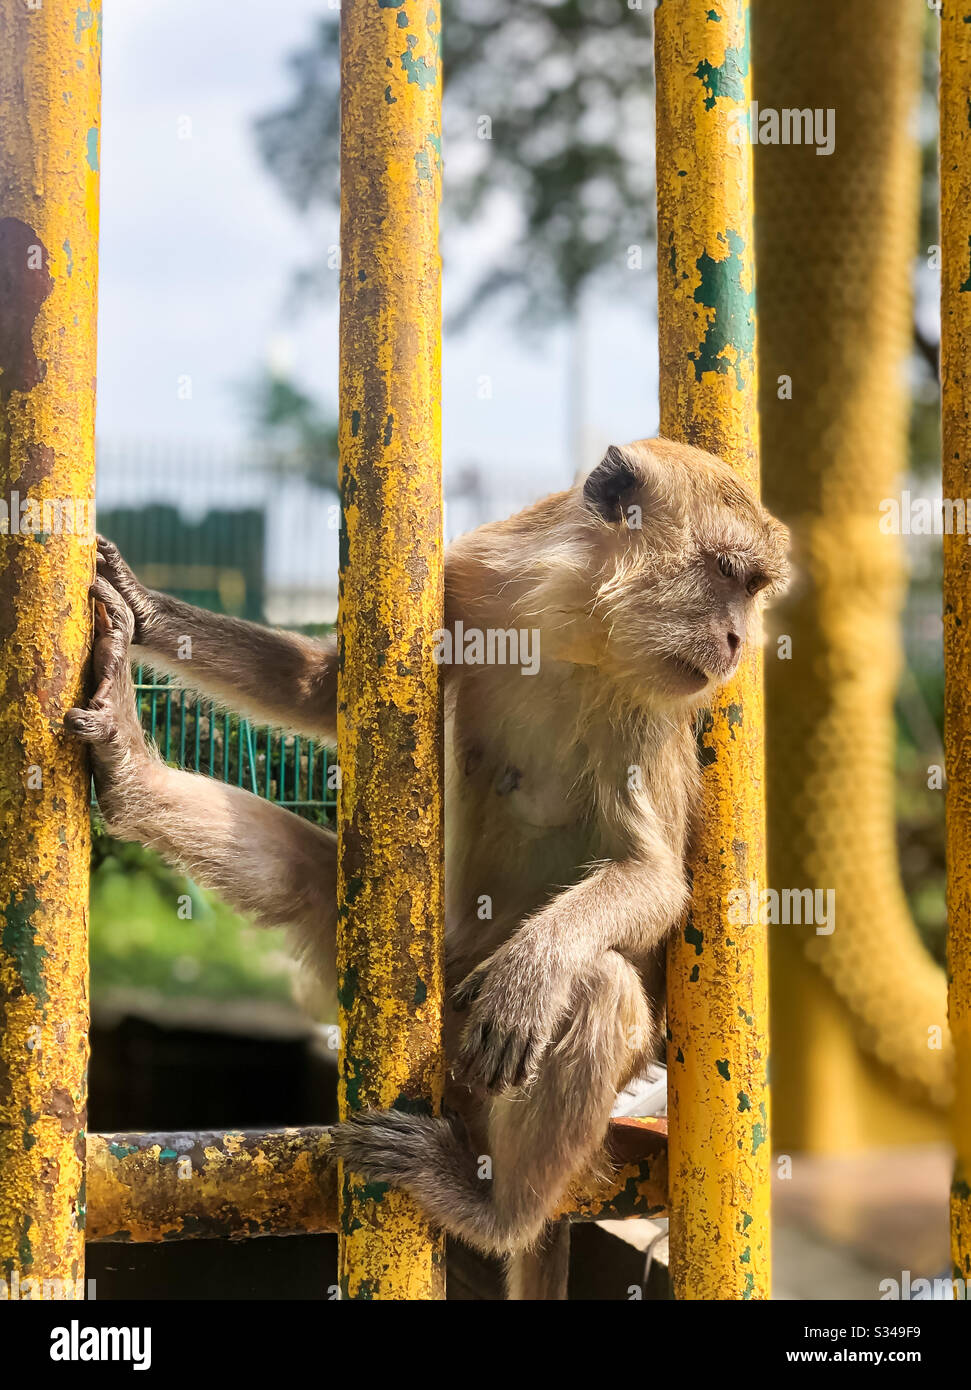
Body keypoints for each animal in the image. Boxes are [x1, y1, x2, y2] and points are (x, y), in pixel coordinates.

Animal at [66, 436, 788, 1299]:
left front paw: (533, 968)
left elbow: (651, 876)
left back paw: (494, 1209)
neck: (579, 625)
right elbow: (323, 693)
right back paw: (129, 772)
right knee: (309, 879)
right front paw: (146, 609)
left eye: (751, 589)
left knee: (601, 986)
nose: (738, 641)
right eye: (725, 575)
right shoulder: (474, 577)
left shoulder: (651, 705)